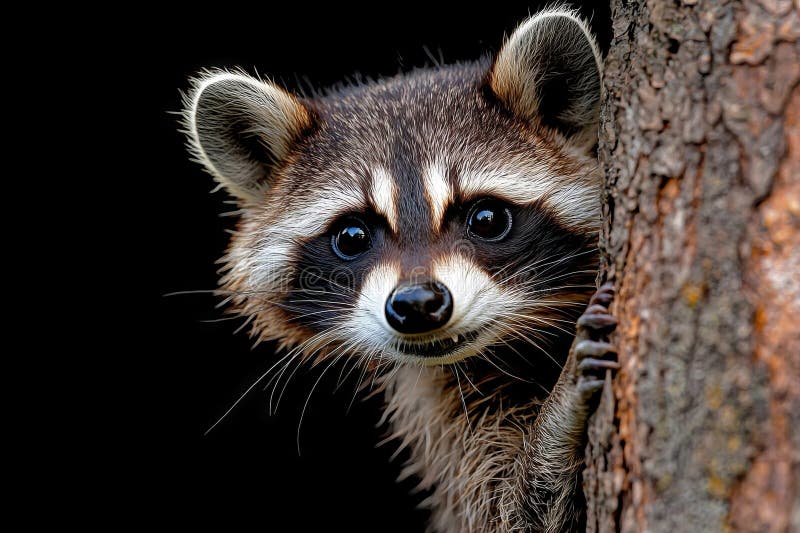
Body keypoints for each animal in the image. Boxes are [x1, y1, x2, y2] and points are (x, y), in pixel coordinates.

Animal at [183, 7, 618, 532]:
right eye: (352, 237)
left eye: (487, 219)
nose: (417, 304)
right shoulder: (444, 410)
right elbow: (509, 510)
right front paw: (559, 416)